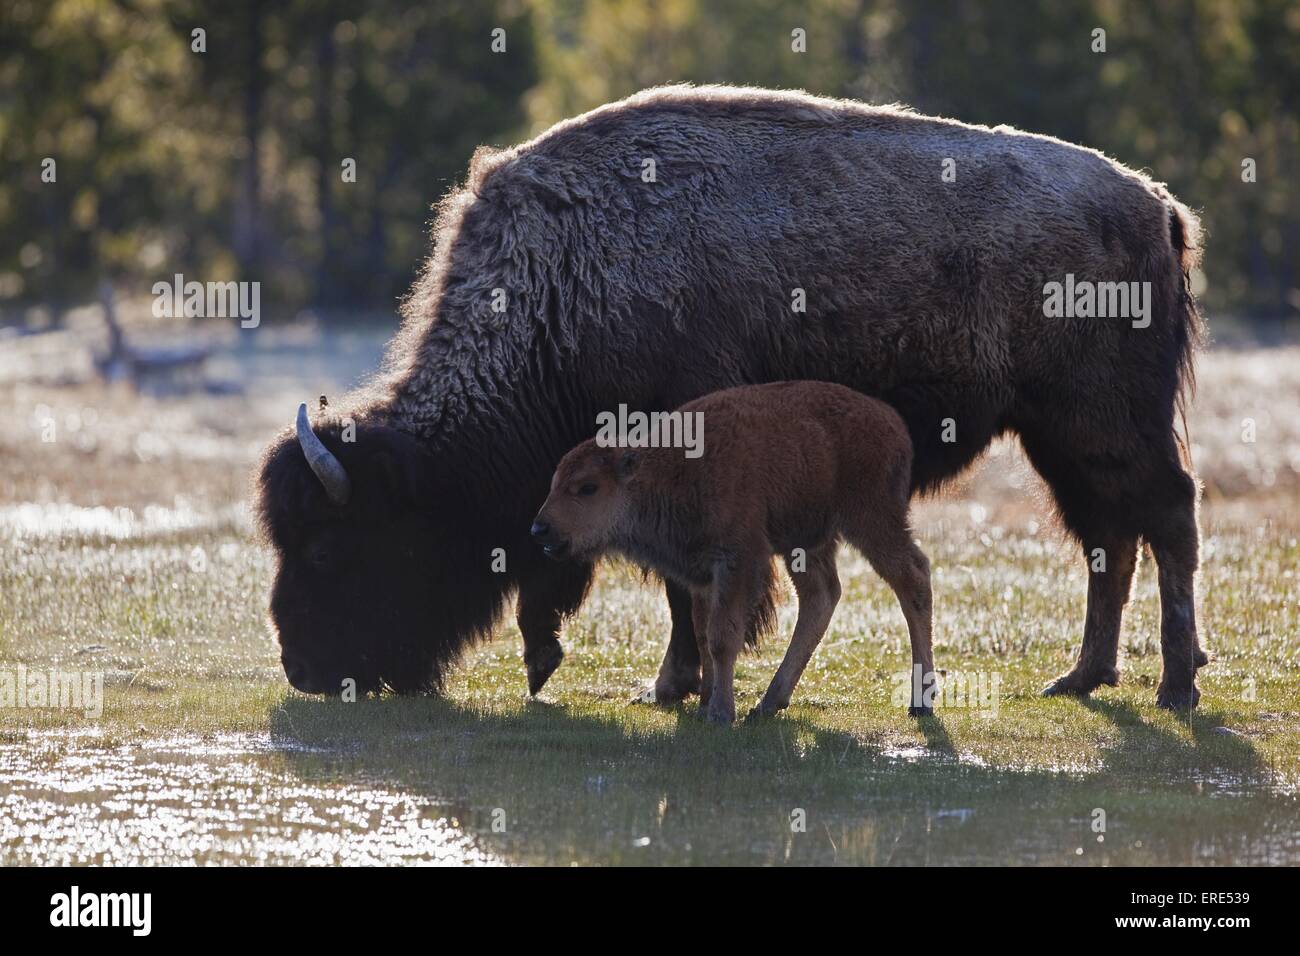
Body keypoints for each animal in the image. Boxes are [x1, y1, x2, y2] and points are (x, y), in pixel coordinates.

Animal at [257, 84, 1206, 709]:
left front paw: (671, 684)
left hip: (1105, 424)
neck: (562, 282)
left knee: (1165, 519)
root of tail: (1157, 206)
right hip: (1060, 437)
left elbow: (687, 587)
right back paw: (1082, 677)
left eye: (331, 549)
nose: (305, 669)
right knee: (1111, 538)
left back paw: (1174, 684)